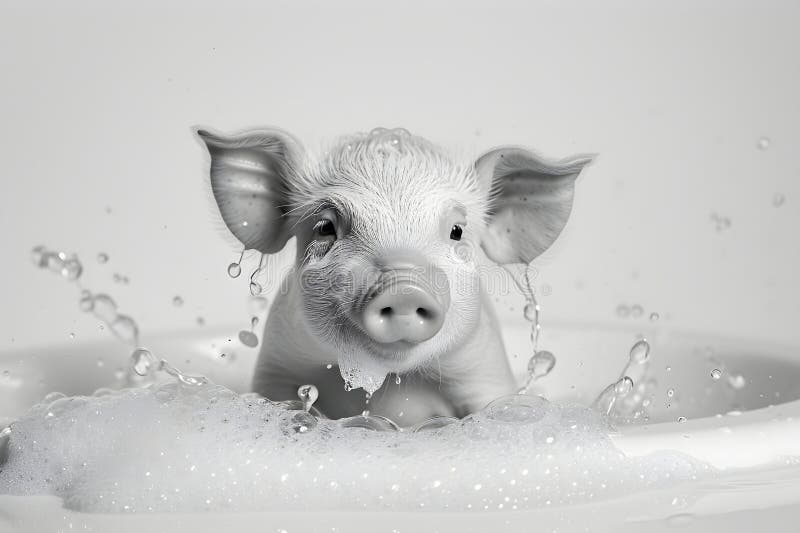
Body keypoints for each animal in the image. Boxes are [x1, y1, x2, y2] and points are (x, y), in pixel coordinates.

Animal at [197, 126, 592, 426]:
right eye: (325, 228)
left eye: (457, 231)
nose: (404, 288)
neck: (393, 385)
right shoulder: (278, 364)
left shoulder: (483, 368)